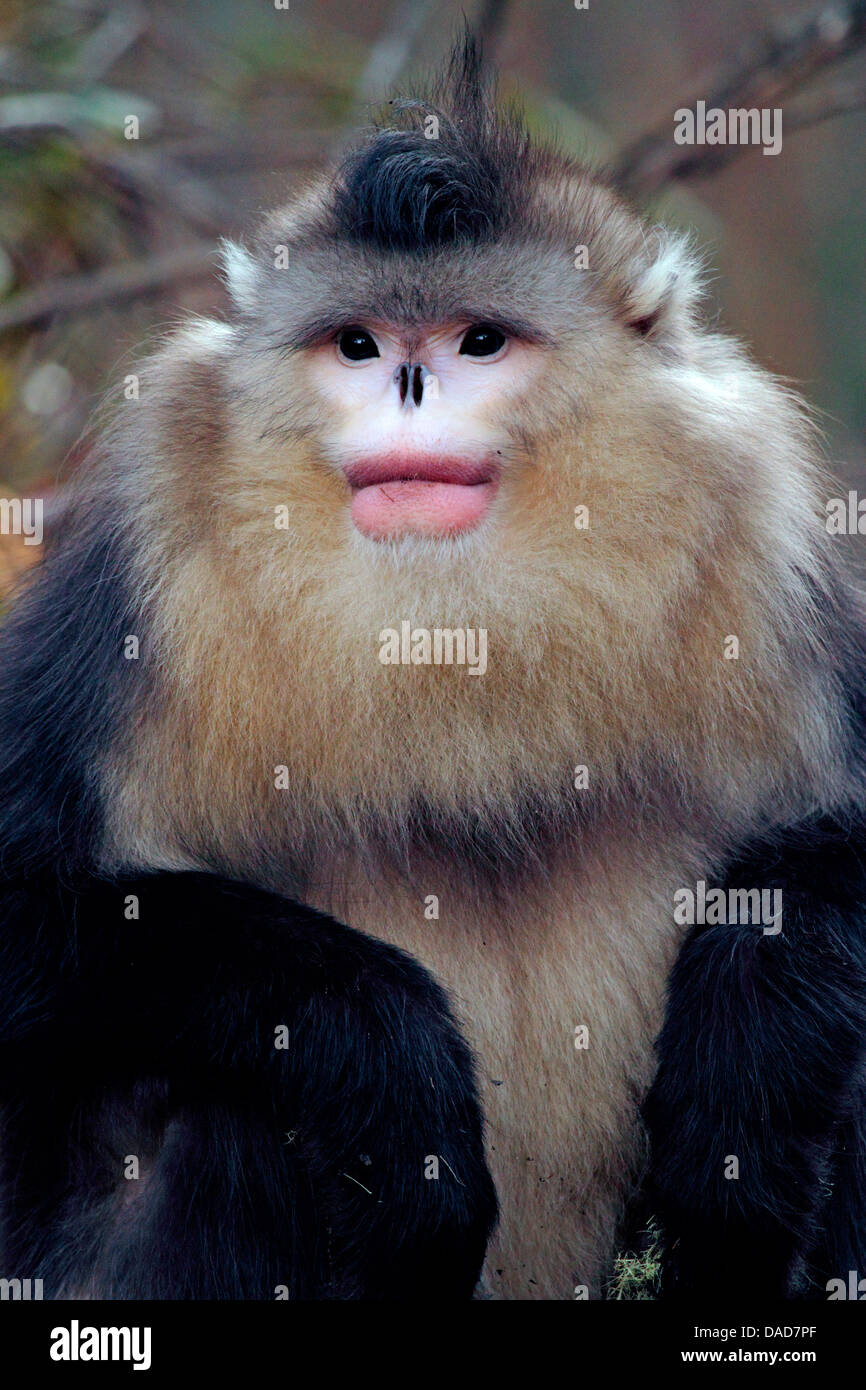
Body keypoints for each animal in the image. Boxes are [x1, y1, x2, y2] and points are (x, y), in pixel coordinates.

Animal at [2, 33, 866, 1302]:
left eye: (478, 341)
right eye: (358, 345)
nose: (410, 388)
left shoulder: (764, 544)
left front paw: (738, 1086)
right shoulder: (136, 572)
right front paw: (391, 1069)